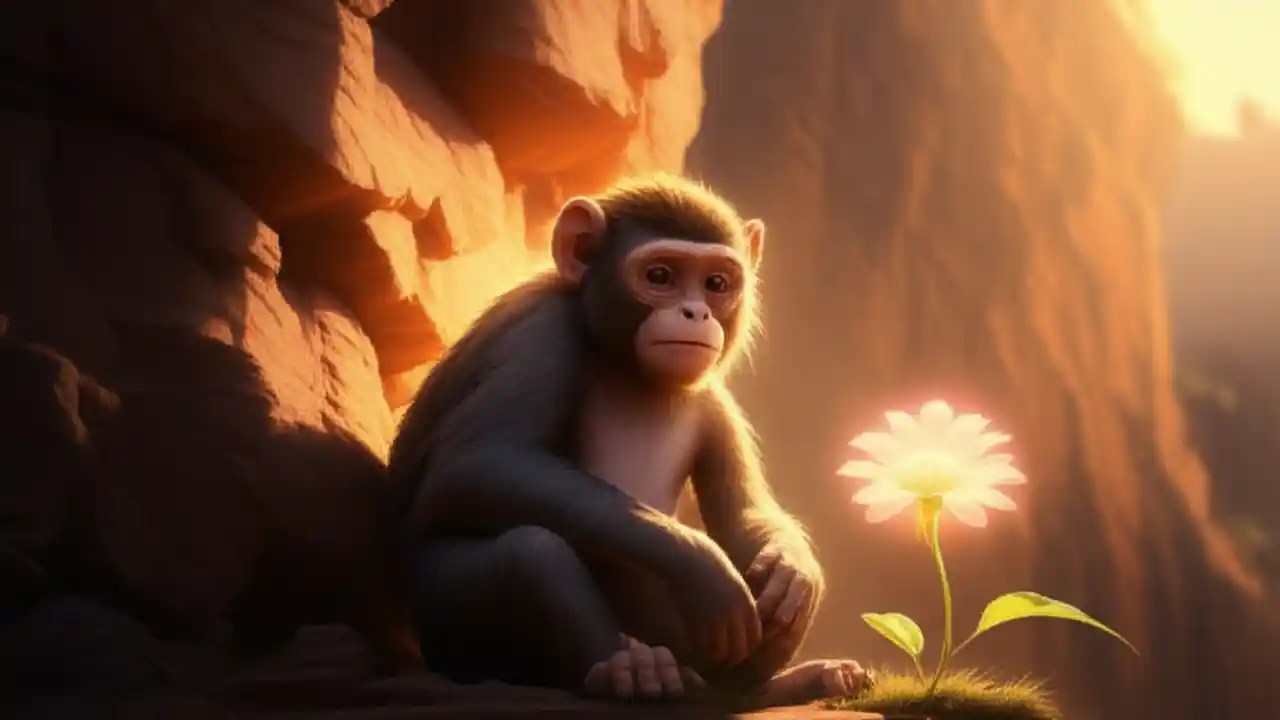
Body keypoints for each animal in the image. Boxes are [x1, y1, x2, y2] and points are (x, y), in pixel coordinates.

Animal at [386, 174, 872, 709]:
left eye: (716, 284)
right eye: (659, 275)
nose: (694, 312)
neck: (626, 366)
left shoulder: (714, 399)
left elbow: (742, 512)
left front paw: (793, 567)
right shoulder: (540, 333)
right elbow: (478, 464)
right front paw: (698, 561)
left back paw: (773, 684)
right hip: (451, 632)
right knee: (530, 551)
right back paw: (630, 672)